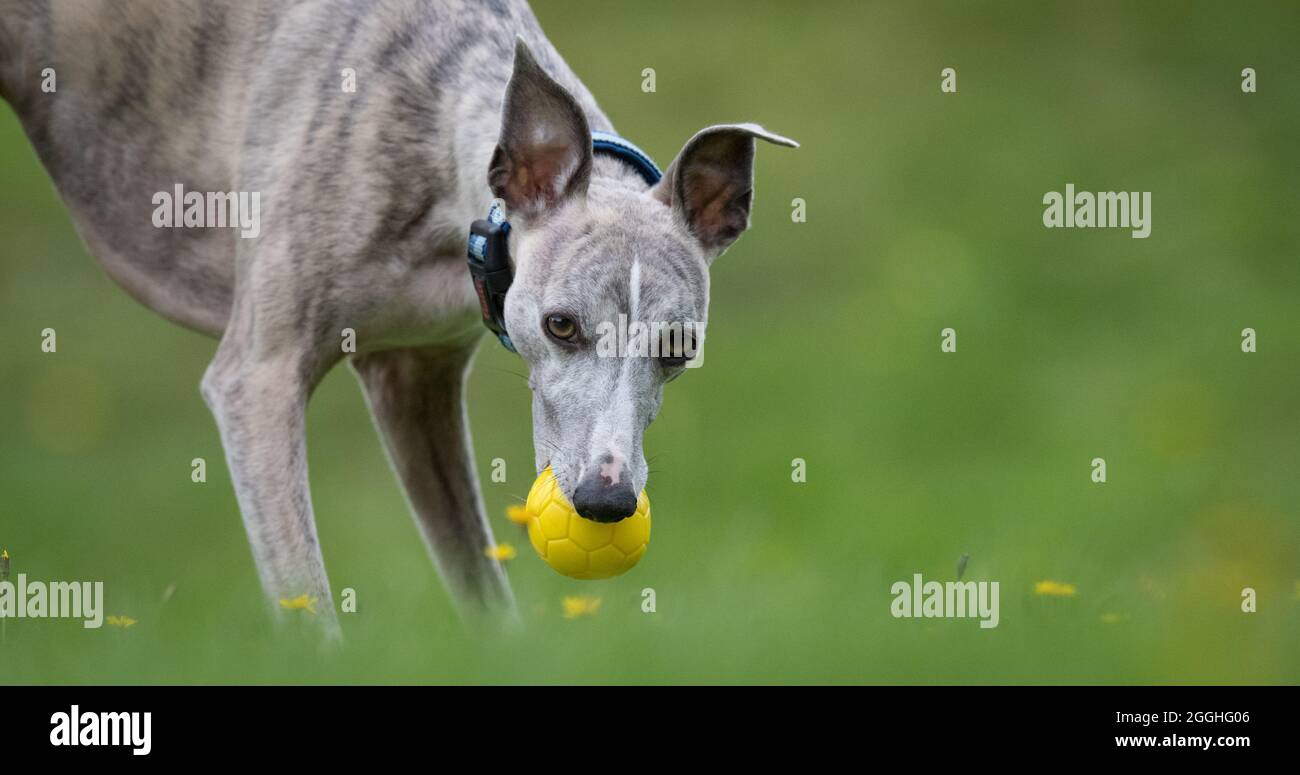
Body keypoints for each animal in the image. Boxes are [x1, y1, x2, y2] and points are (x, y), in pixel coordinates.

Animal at [2, 0, 790, 631]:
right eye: (561, 324)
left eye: (680, 346)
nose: (607, 499)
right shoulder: (258, 379)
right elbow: (307, 603)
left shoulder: (415, 380)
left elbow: (483, 591)